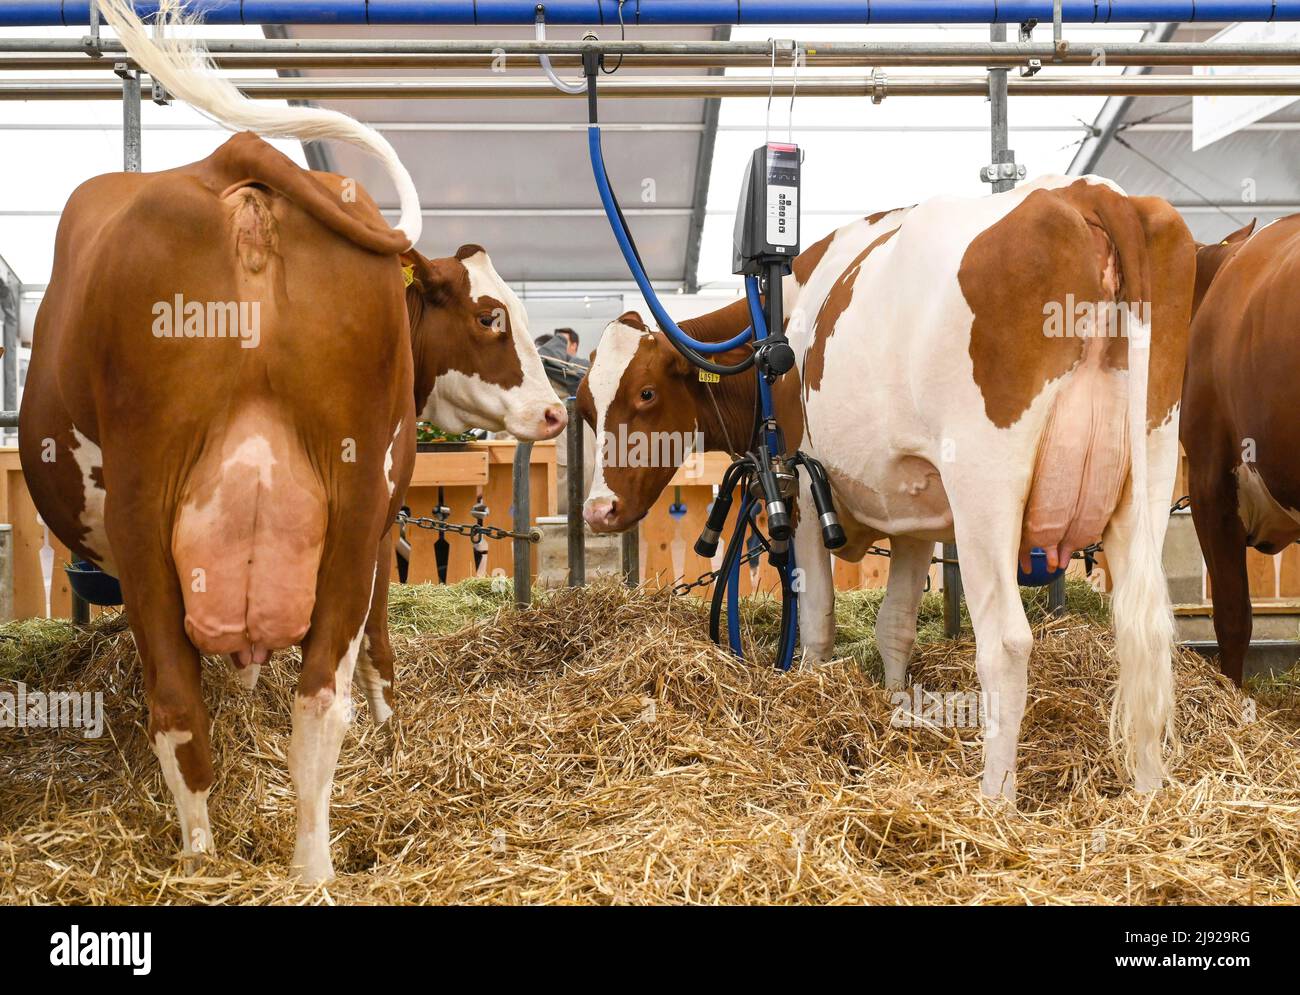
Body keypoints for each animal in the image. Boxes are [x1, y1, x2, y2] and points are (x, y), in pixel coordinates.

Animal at [579, 178, 1195, 803]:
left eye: (647, 394)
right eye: (585, 409)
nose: (599, 510)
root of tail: (1086, 193)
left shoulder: (803, 486)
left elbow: (819, 618)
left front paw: (815, 691)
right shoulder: (914, 509)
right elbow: (895, 624)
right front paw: (896, 708)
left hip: (986, 487)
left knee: (1006, 643)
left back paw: (995, 799)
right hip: (1150, 468)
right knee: (1143, 632)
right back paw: (1148, 794)